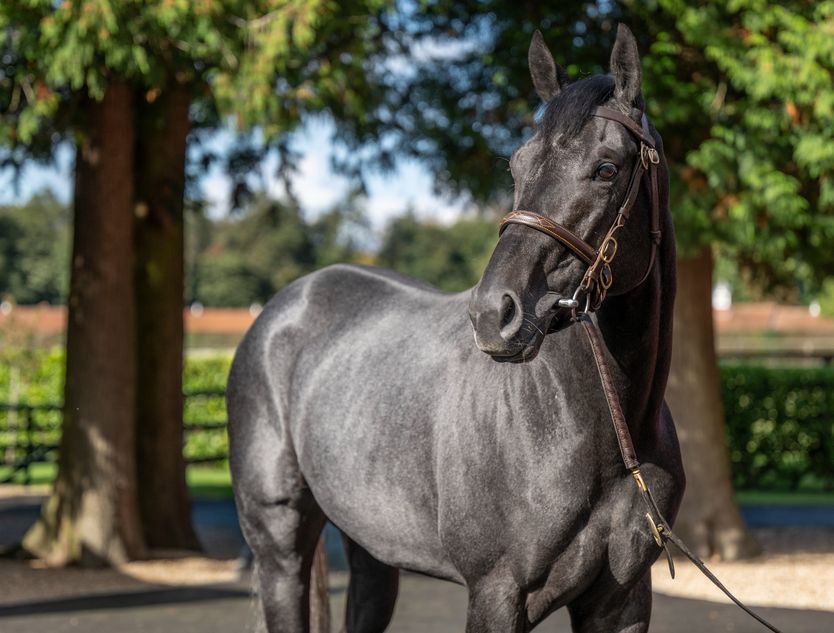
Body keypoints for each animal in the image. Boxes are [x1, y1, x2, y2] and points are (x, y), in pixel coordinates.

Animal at [227, 23, 684, 633]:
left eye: (607, 168)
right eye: (517, 166)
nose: (494, 313)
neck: (607, 434)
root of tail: (284, 307)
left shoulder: (623, 600)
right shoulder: (496, 593)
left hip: (371, 549)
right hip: (279, 548)